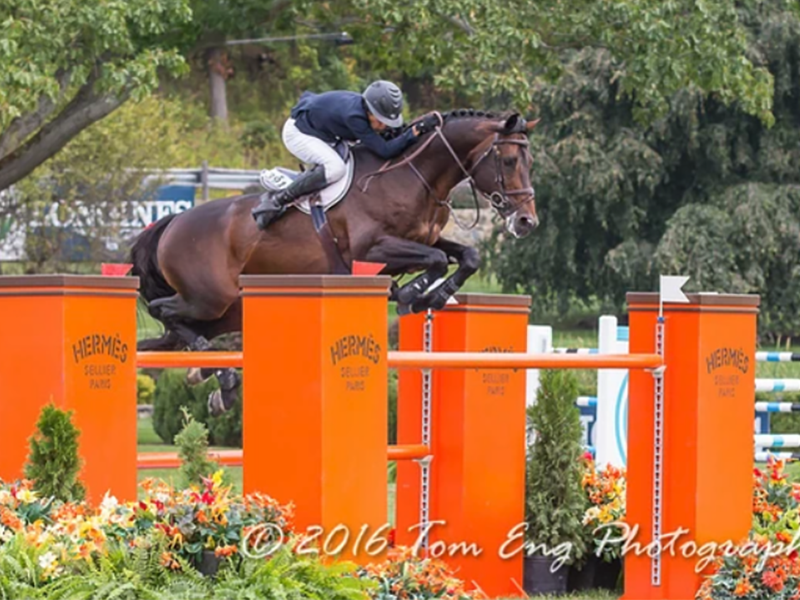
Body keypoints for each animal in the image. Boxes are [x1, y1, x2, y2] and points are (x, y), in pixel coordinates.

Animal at [130, 108, 540, 414]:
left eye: (529, 161)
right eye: (507, 160)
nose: (526, 222)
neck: (415, 176)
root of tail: (171, 222)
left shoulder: (422, 240)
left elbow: (467, 255)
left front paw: (431, 296)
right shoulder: (370, 250)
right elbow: (437, 260)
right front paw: (412, 296)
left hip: (224, 312)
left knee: (168, 336)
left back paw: (216, 383)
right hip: (208, 297)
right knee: (162, 309)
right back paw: (223, 377)